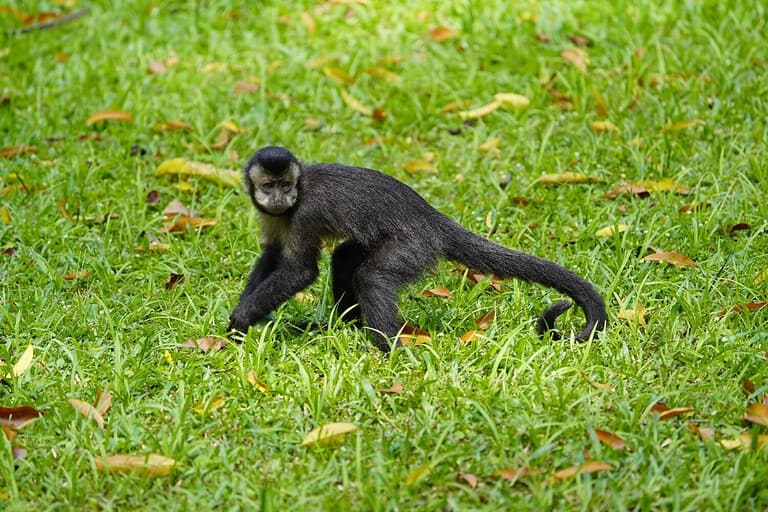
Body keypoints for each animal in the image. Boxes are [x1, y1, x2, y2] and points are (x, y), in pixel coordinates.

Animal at [228, 146, 608, 353]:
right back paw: (348, 326)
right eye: (269, 186)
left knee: (373, 277)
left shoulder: (304, 213)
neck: (294, 200)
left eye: (285, 185)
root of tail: (431, 218)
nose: (279, 197)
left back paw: (387, 349)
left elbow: (301, 270)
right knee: (347, 257)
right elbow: (272, 255)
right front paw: (240, 327)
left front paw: (242, 318)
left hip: (415, 244)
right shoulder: (273, 216)